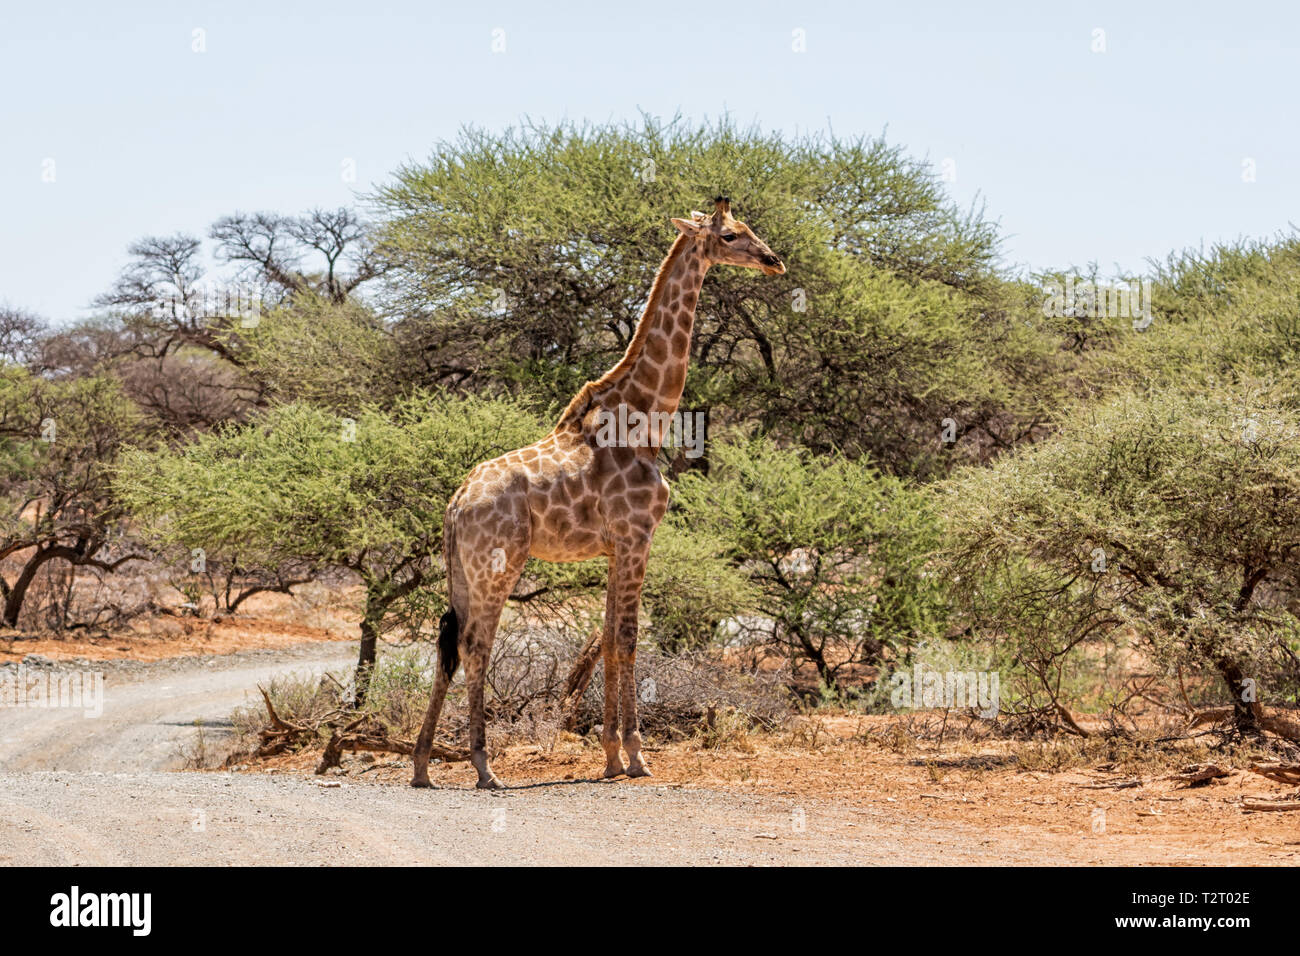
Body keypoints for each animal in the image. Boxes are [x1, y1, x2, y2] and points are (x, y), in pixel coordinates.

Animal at [411, 197, 785, 789]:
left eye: (748, 228)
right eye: (729, 235)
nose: (774, 261)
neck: (646, 422)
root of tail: (454, 505)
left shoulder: (614, 548)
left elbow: (607, 641)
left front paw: (610, 757)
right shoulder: (637, 537)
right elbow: (628, 640)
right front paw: (636, 756)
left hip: (463, 572)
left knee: (447, 644)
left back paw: (423, 766)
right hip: (498, 564)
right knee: (475, 646)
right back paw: (484, 767)